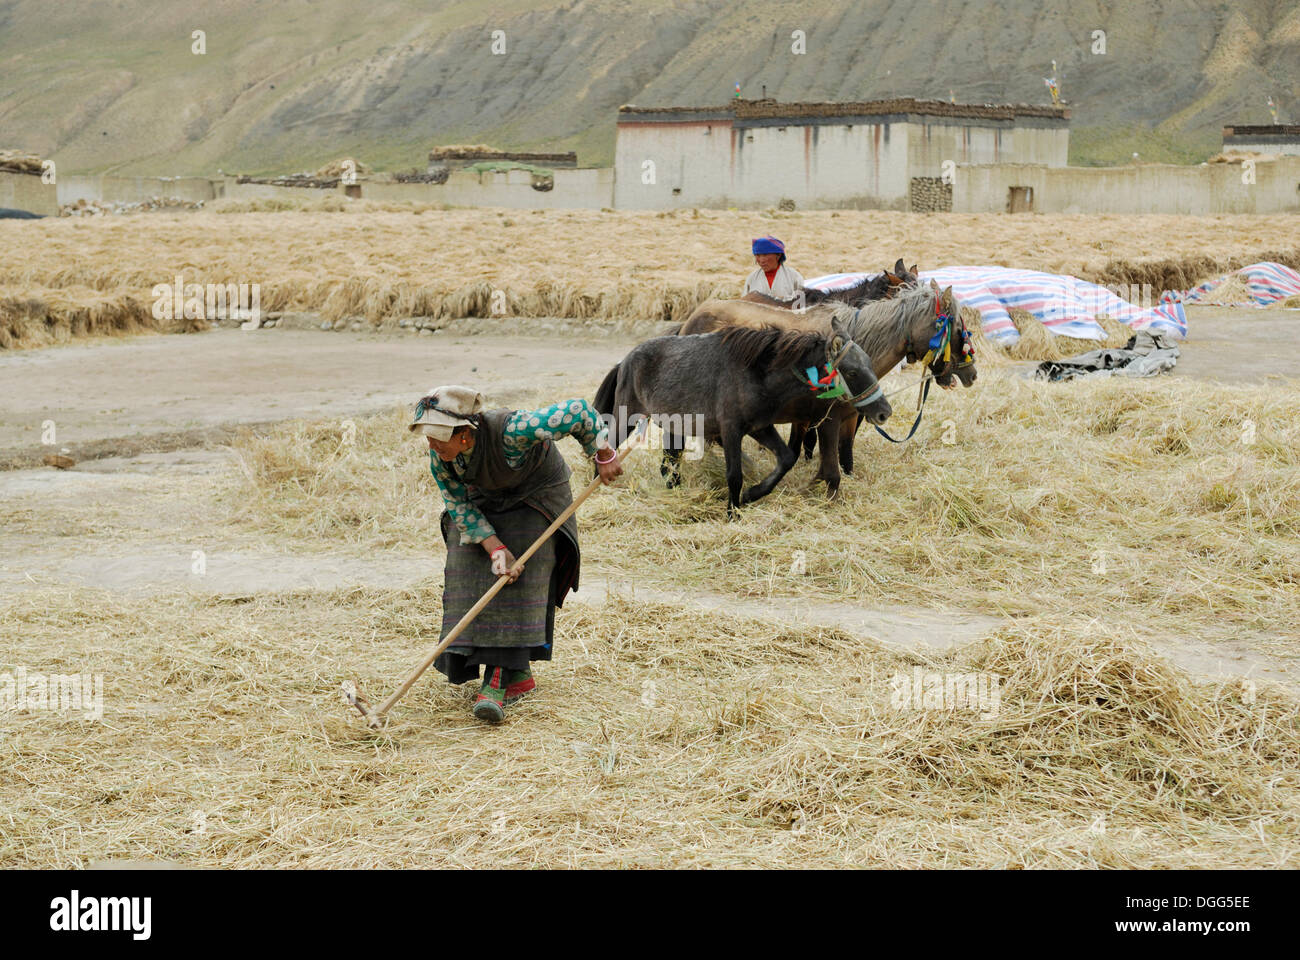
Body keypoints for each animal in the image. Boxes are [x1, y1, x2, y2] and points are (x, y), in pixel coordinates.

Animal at [593, 317, 892, 516]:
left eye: (869, 363)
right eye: (852, 371)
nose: (884, 412)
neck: (758, 373)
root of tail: (625, 361)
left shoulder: (760, 427)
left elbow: (786, 458)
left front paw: (751, 495)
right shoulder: (731, 430)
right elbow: (734, 474)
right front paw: (732, 511)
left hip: (673, 425)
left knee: (669, 466)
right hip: (627, 418)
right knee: (608, 447)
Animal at [671, 282, 977, 497]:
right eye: (958, 329)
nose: (971, 374)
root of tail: (692, 319)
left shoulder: (848, 418)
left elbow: (844, 457)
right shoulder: (825, 419)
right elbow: (829, 468)